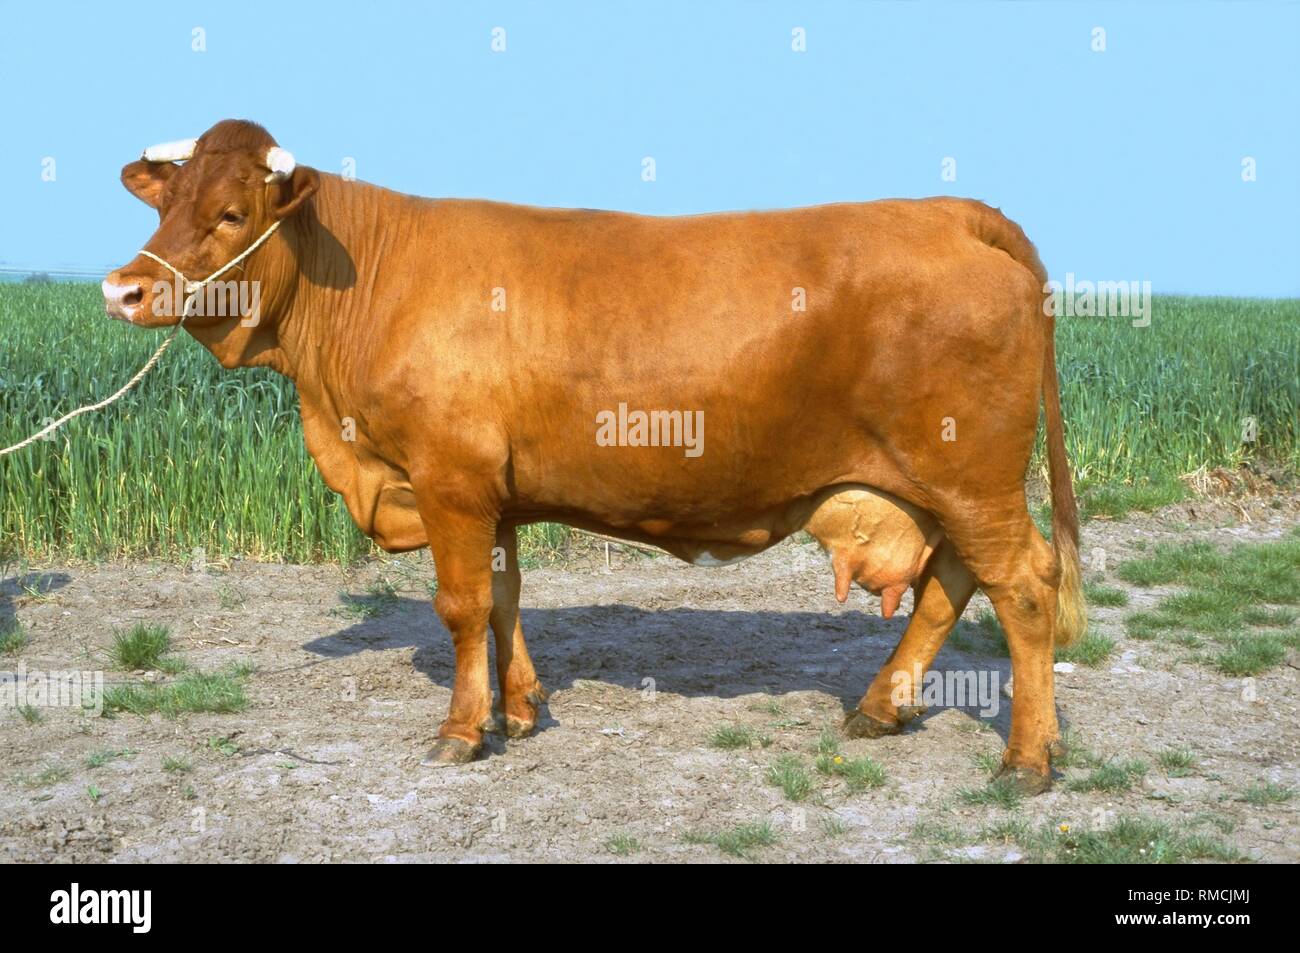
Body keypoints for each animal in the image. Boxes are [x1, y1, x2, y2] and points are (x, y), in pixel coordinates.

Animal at [104, 119, 1086, 793]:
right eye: (165, 204)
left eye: (231, 213)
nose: (124, 288)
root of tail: (950, 212)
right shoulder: (490, 495)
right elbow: (504, 601)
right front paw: (520, 709)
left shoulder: (449, 479)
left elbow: (461, 607)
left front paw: (462, 730)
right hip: (945, 486)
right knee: (953, 582)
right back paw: (880, 709)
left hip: (973, 479)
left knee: (1024, 586)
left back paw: (1027, 759)